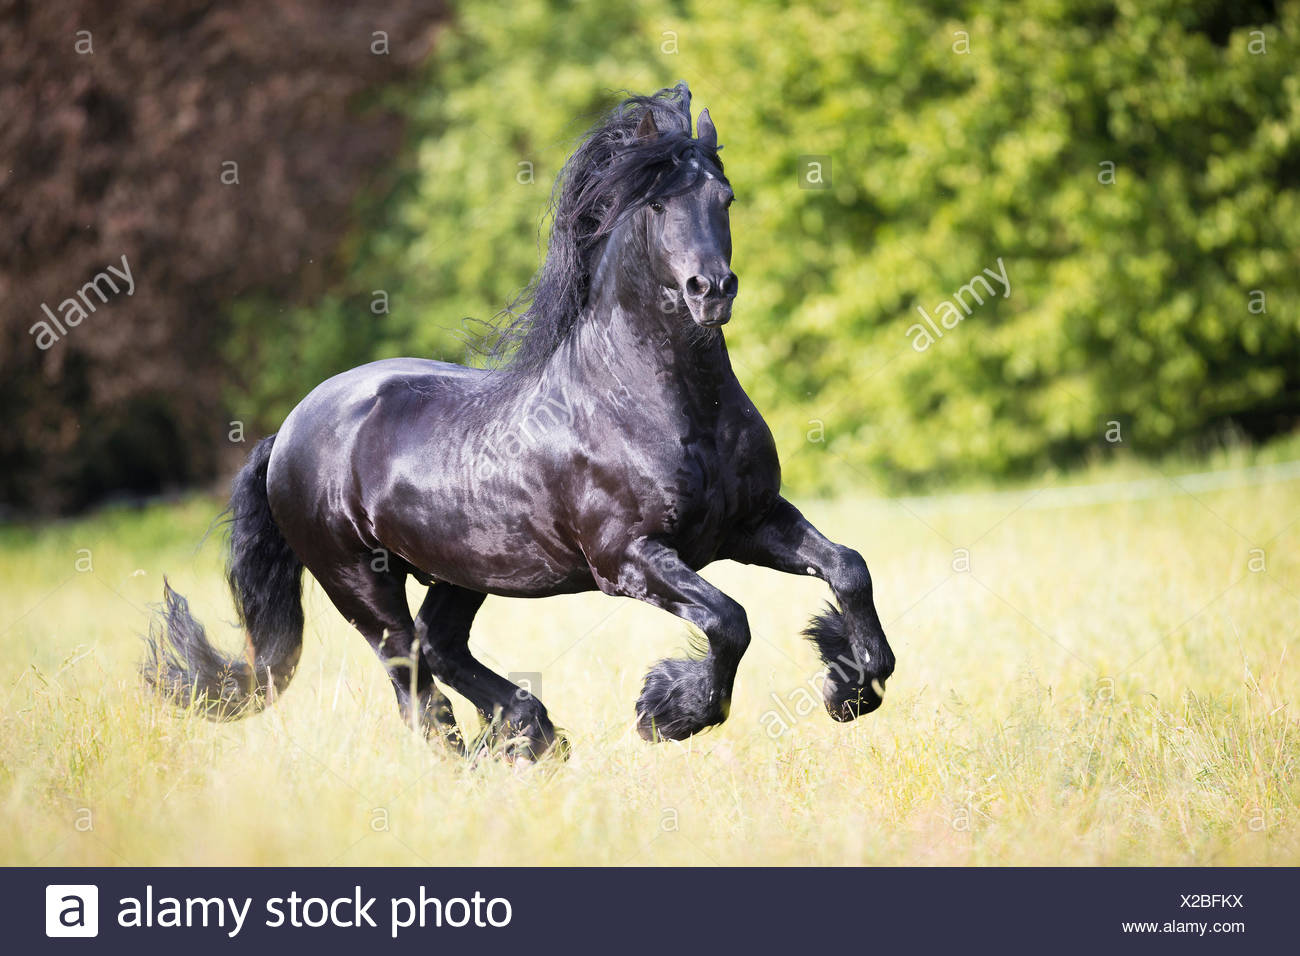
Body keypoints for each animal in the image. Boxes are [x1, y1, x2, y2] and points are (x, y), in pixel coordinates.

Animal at [145, 82, 895, 761]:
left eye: (726, 198)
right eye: (658, 202)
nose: (710, 292)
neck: (661, 406)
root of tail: (289, 431)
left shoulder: (752, 520)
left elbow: (849, 568)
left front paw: (851, 688)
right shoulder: (628, 557)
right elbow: (729, 619)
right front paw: (667, 712)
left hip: (458, 570)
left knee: (440, 647)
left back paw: (533, 734)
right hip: (359, 582)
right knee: (414, 681)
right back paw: (495, 753)